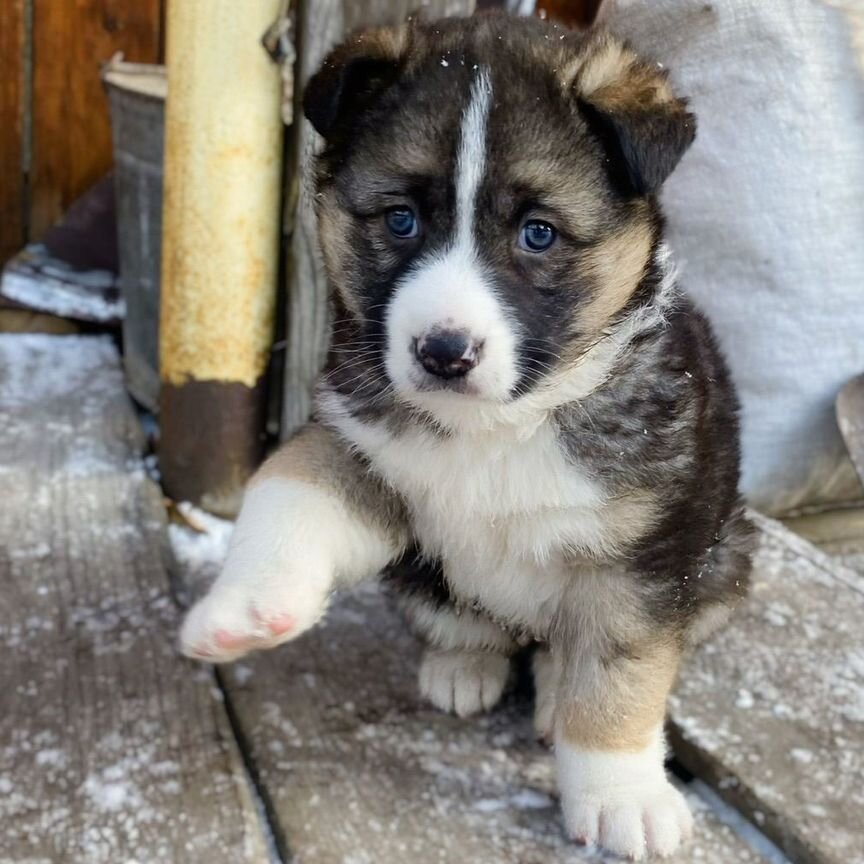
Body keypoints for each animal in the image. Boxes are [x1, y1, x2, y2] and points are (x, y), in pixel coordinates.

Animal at [181, 15, 748, 864]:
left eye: (538, 234)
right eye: (400, 219)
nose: (443, 353)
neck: (503, 426)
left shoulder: (644, 558)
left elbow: (619, 677)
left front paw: (622, 796)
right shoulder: (364, 446)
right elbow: (290, 486)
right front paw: (247, 606)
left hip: (728, 558)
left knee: (568, 651)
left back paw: (552, 695)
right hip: (424, 580)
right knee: (466, 619)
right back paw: (462, 662)